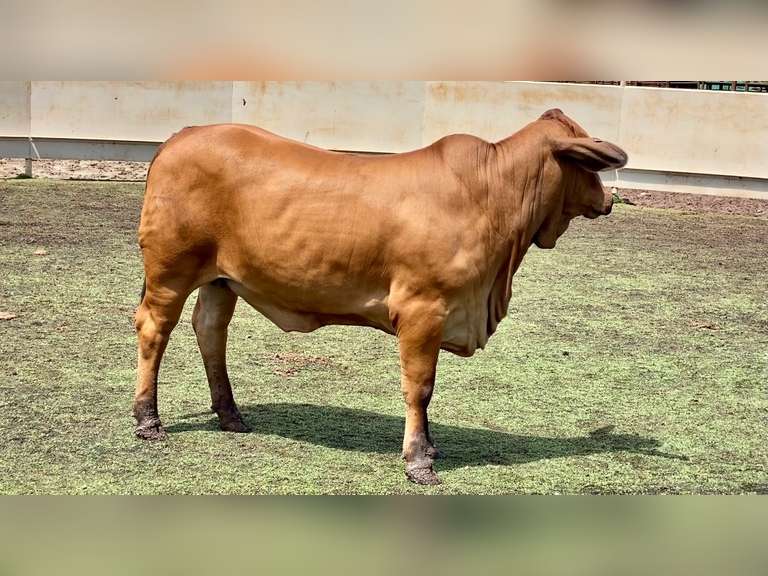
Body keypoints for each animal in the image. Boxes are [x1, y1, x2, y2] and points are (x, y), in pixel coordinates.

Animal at [134, 108, 627, 485]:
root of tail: (183, 135)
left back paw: (230, 415)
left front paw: (430, 448)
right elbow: (420, 388)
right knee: (155, 329)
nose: (609, 201)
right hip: (170, 271)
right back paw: (147, 420)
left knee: (210, 332)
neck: (491, 197)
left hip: (221, 280)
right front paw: (419, 461)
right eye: (588, 164)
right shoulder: (422, 310)